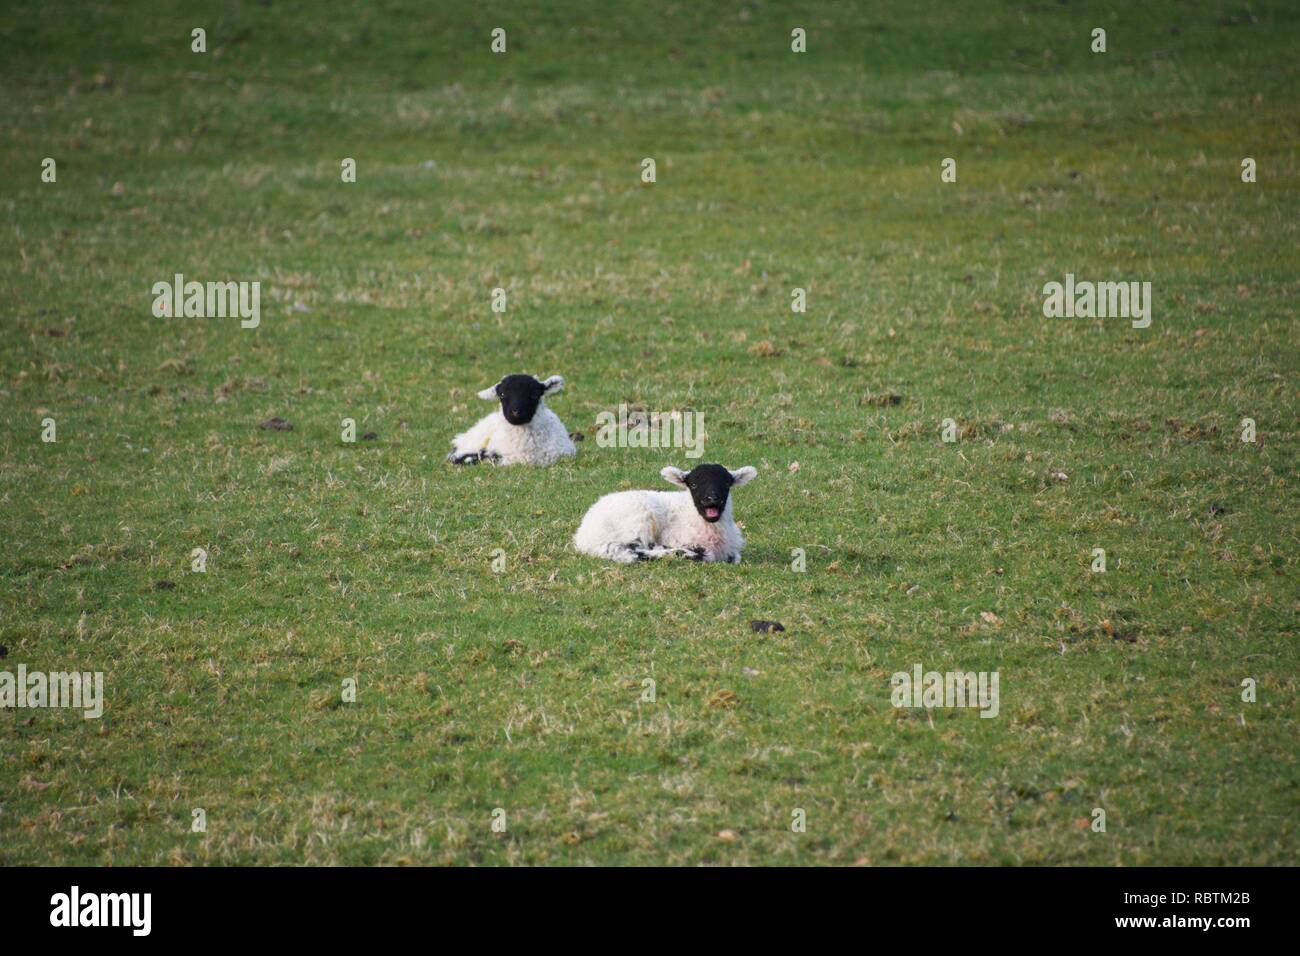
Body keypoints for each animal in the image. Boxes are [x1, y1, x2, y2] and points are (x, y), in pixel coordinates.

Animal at [573, 463, 757, 564]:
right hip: (637, 520)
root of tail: (583, 535)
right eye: (693, 484)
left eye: (726, 483)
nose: (711, 499)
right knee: (628, 550)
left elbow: (735, 557)